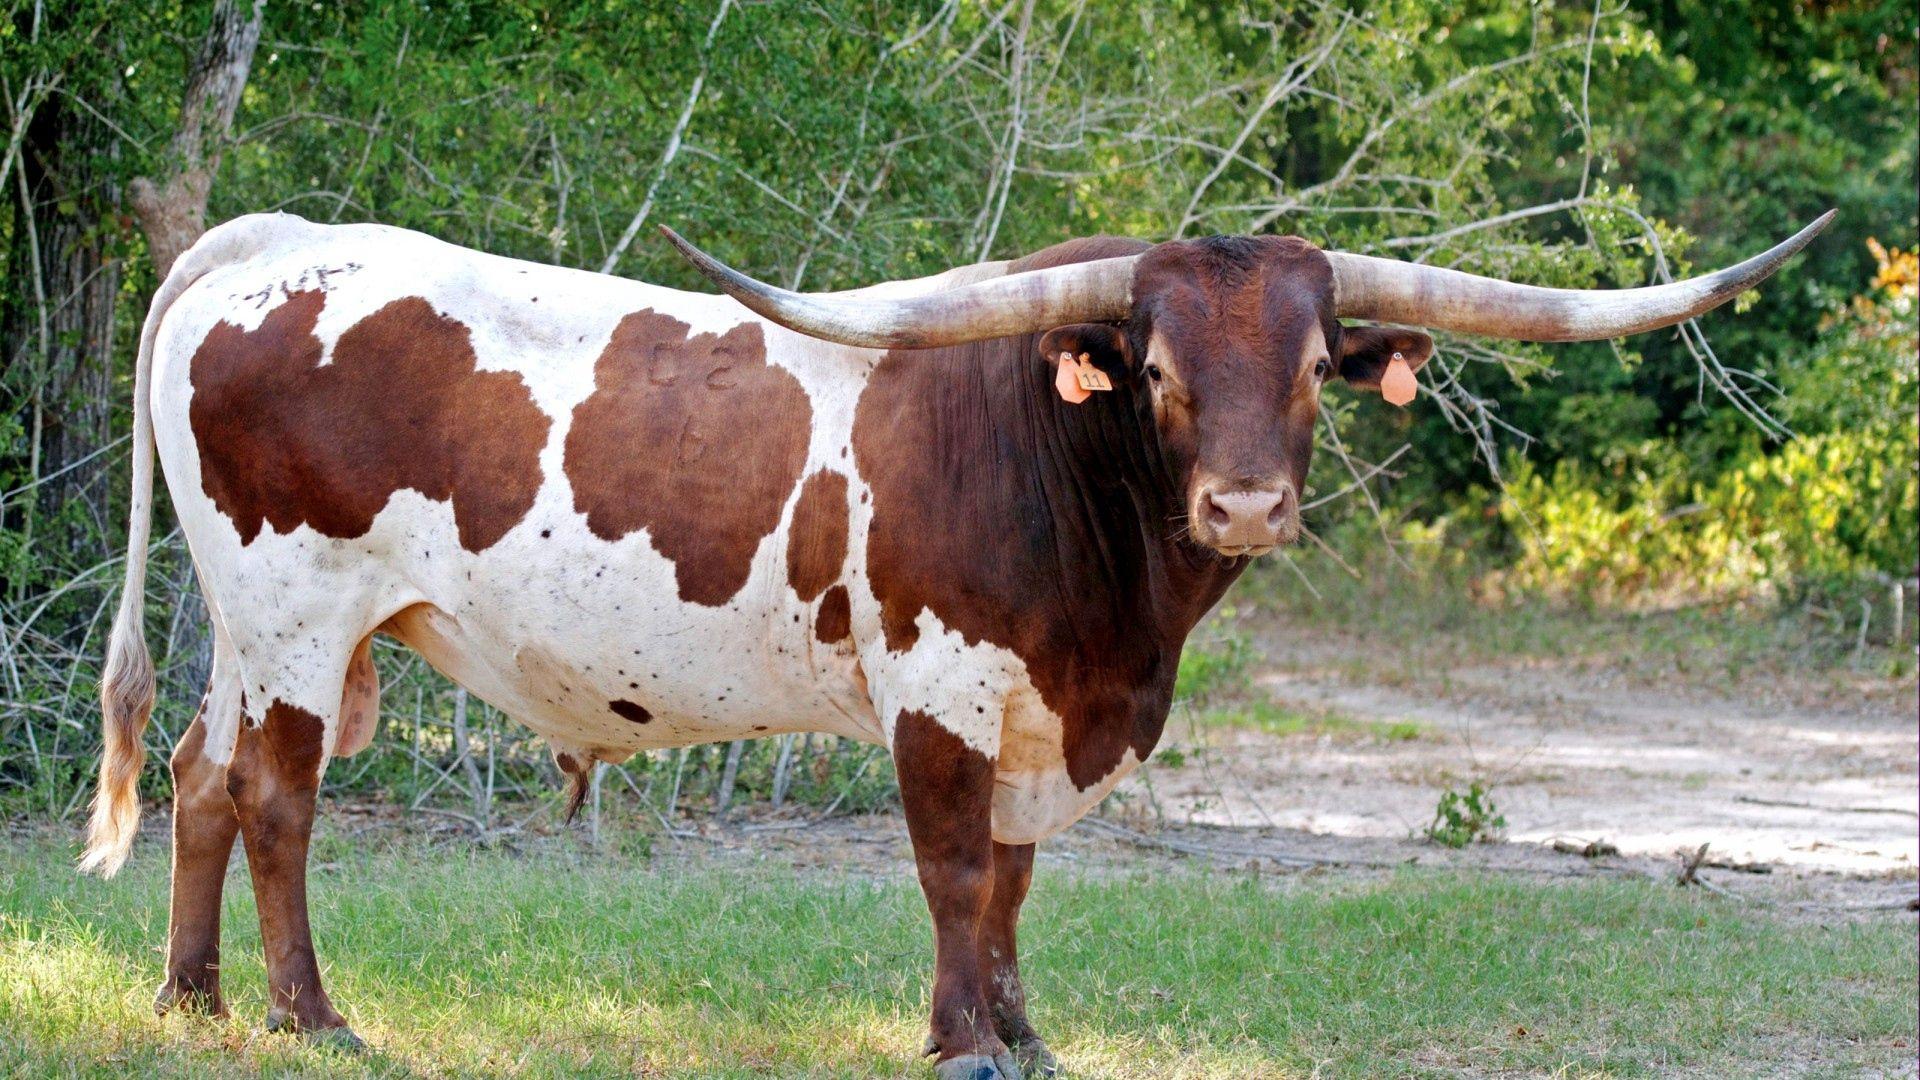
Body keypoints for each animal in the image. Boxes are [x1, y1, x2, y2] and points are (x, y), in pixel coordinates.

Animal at [81, 207, 1829, 1078]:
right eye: (1157, 370)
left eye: (1318, 366)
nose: (1249, 505)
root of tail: (258, 244)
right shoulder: (944, 690)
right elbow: (951, 868)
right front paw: (962, 1044)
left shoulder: (1049, 712)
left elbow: (1013, 881)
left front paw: (1027, 1034)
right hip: (301, 611)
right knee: (281, 800)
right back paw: (312, 1018)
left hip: (252, 627)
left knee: (201, 779)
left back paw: (192, 1004)